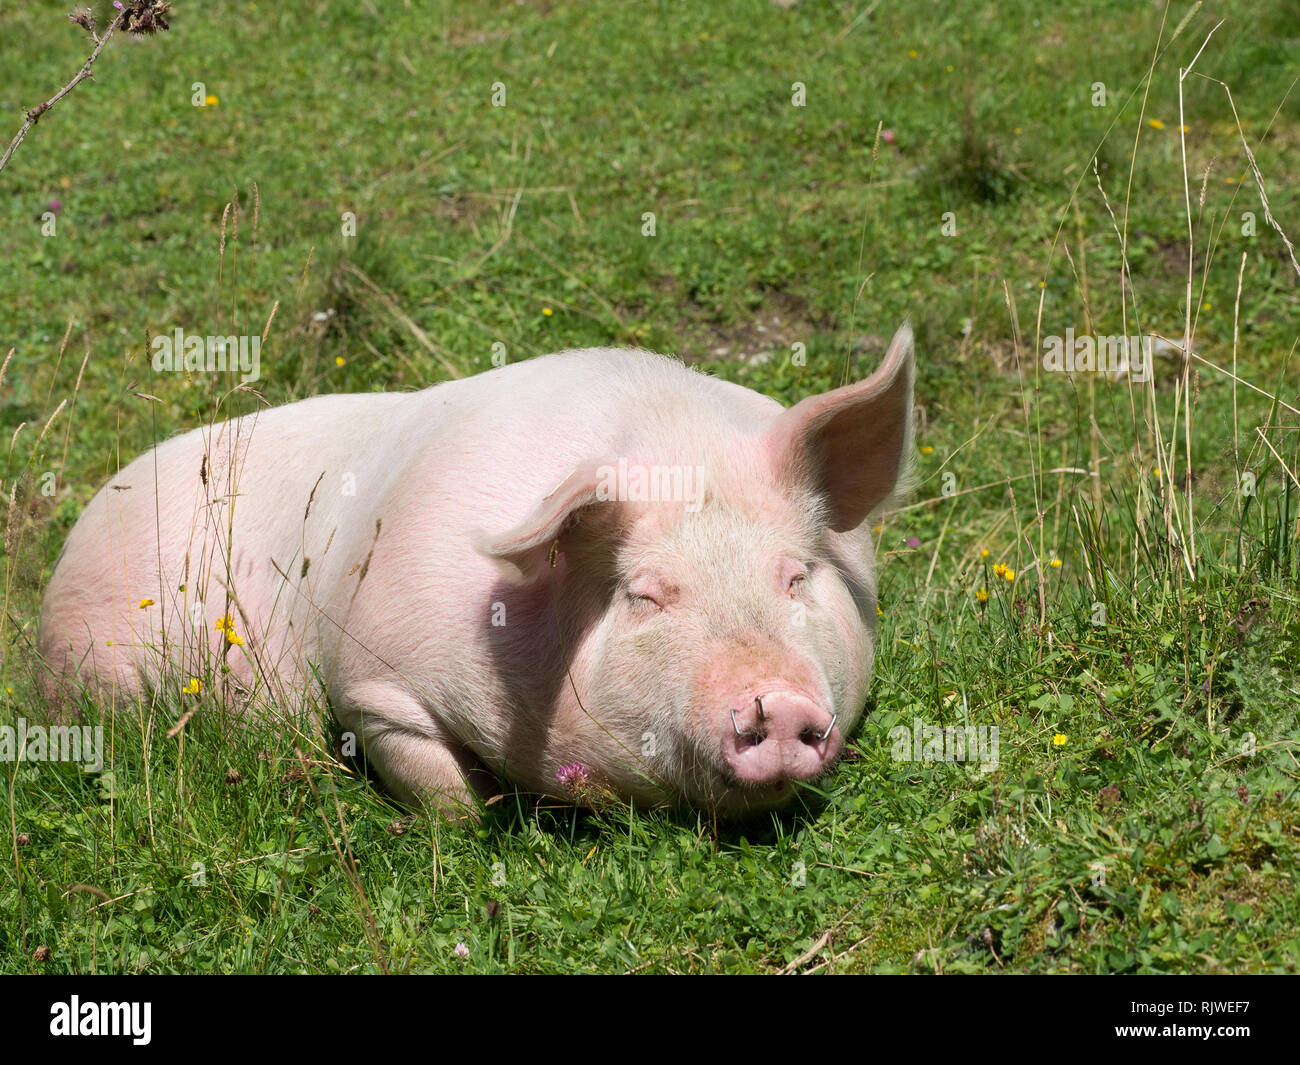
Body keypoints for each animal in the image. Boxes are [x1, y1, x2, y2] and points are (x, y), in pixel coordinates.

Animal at [39, 323, 915, 818]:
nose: (777, 700)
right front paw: (483, 812)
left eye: (796, 575)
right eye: (646, 595)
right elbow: (435, 780)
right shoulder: (372, 676)